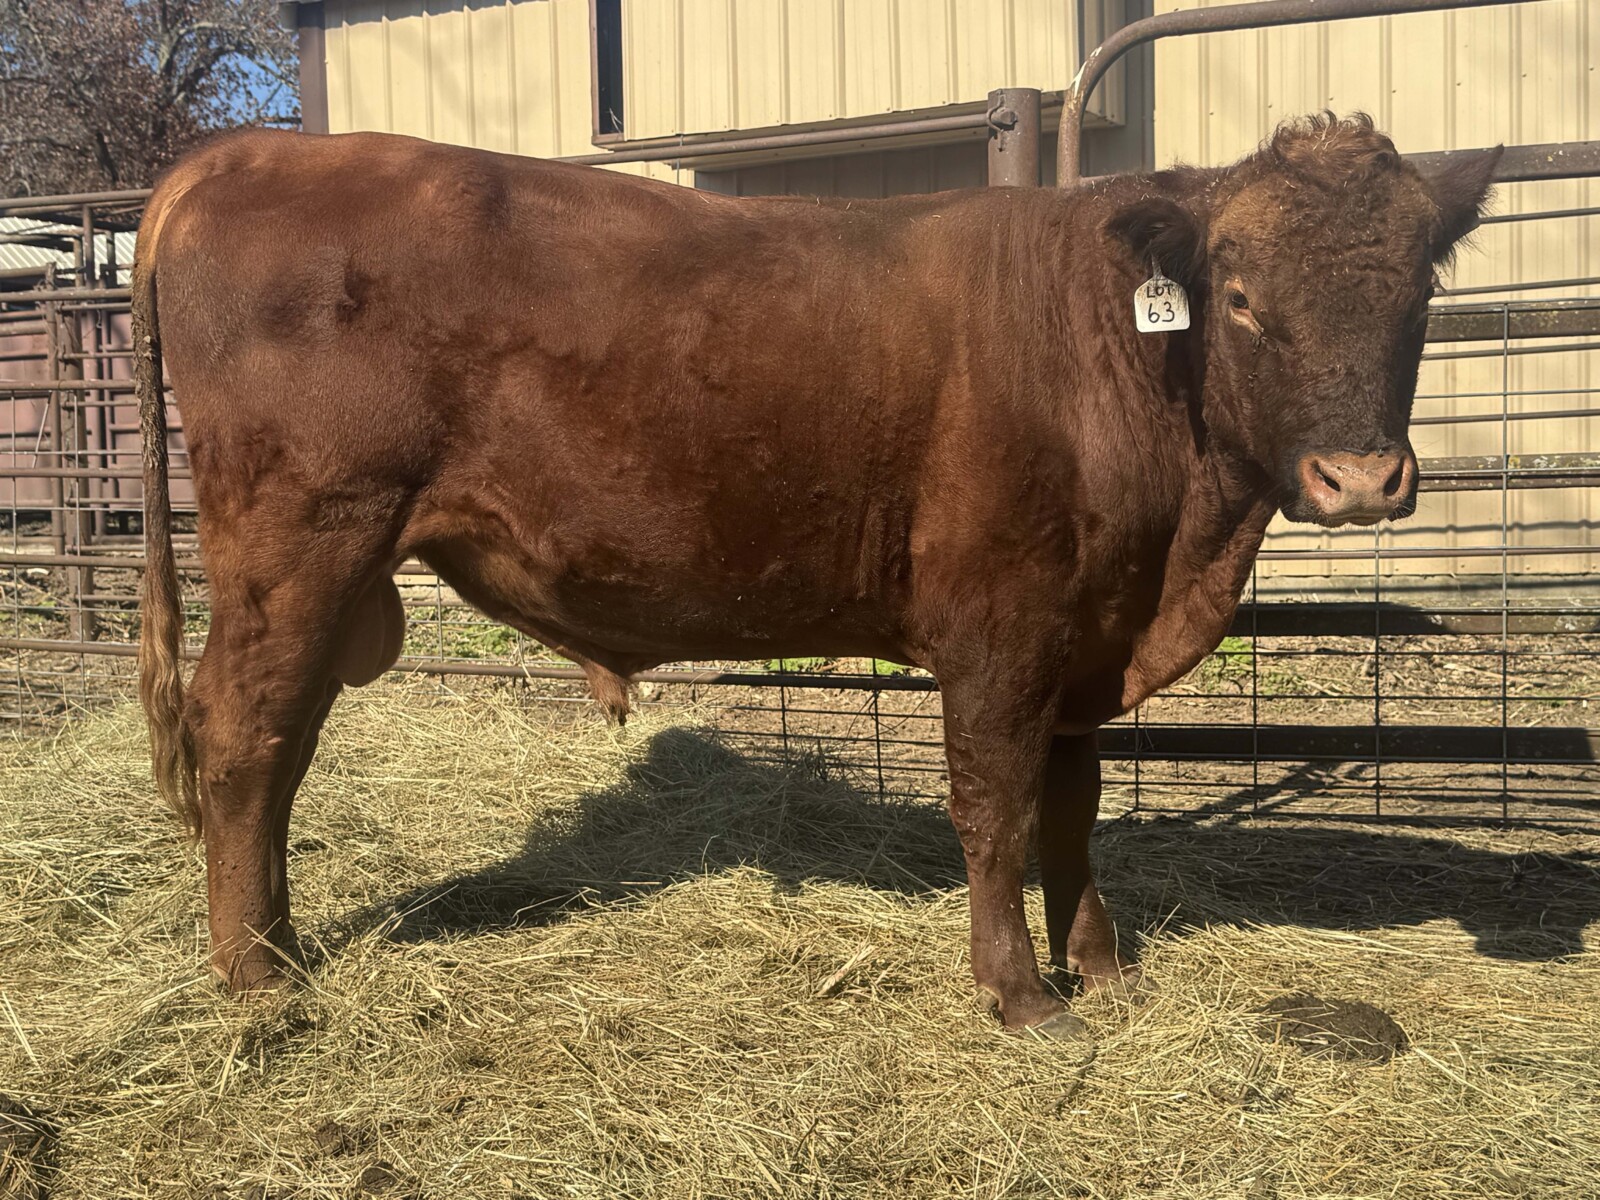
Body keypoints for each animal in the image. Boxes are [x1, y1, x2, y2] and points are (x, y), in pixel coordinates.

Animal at [134, 113, 1498, 1038]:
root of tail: (242, 156)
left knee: (279, 745)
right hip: (304, 537)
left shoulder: (1085, 634)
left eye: (1416, 293)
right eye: (1243, 297)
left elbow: (1071, 810)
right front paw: (1018, 993)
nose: (1359, 479)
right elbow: (995, 810)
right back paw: (257, 975)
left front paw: (1103, 968)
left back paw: (272, 944)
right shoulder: (1001, 625)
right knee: (243, 736)